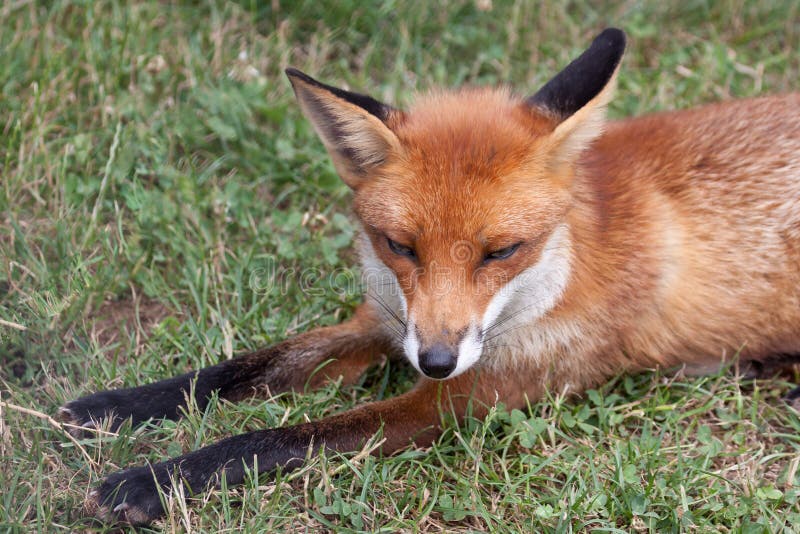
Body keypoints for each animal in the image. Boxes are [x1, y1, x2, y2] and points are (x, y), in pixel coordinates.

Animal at [59, 28, 800, 524]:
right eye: (399, 246)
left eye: (502, 252)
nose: (436, 361)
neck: (562, 270)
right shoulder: (388, 321)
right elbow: (236, 371)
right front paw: (113, 406)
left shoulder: (467, 397)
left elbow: (286, 436)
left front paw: (155, 480)